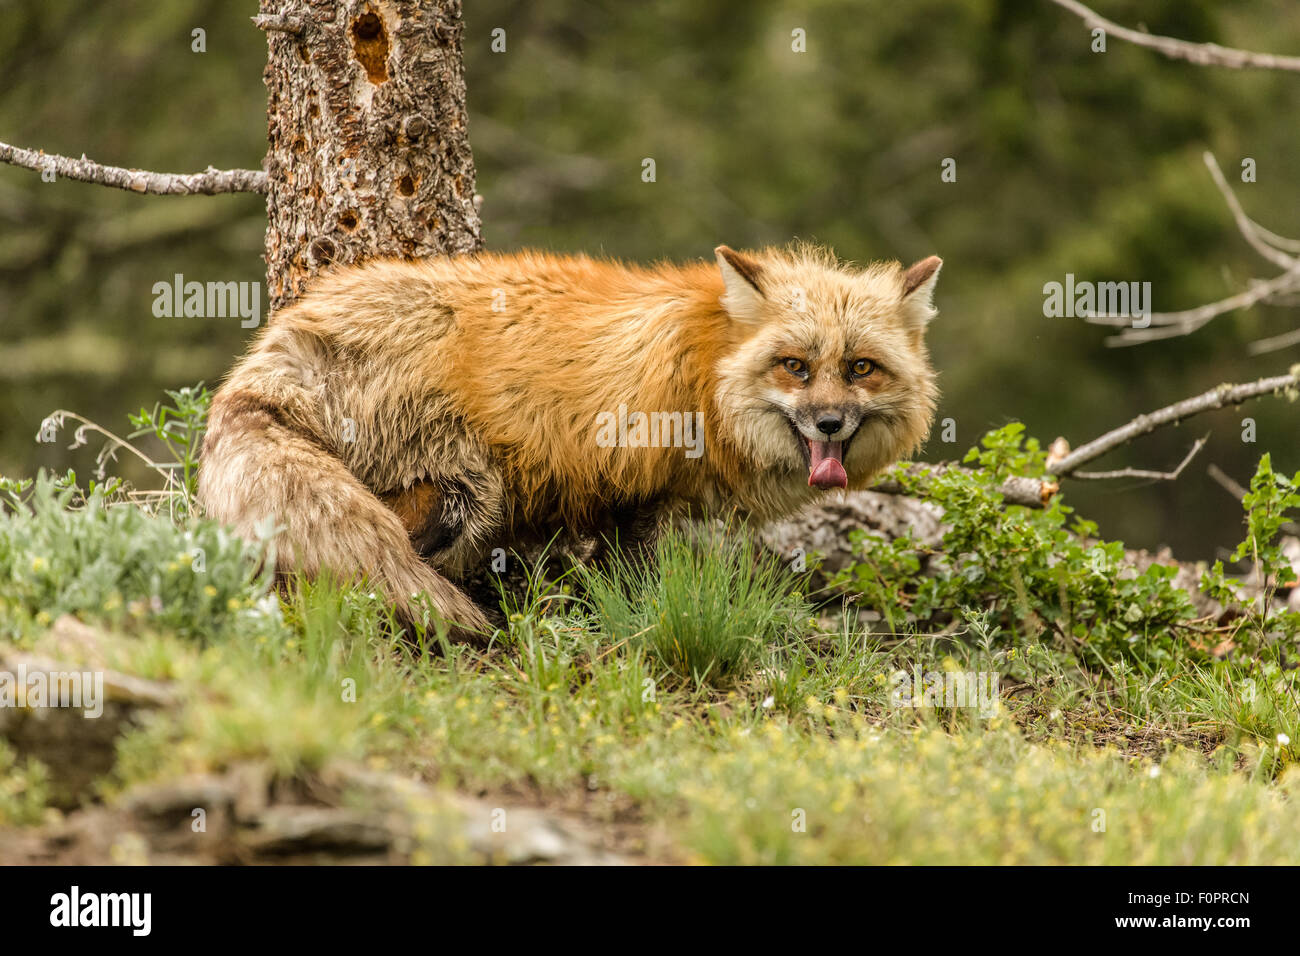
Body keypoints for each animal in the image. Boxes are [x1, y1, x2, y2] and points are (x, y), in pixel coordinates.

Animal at [197, 243, 942, 640]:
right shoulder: (636, 491)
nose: (829, 423)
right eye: (795, 366)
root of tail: (277, 340)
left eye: (860, 369)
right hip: (466, 496)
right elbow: (633, 579)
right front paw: (627, 621)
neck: (703, 374)